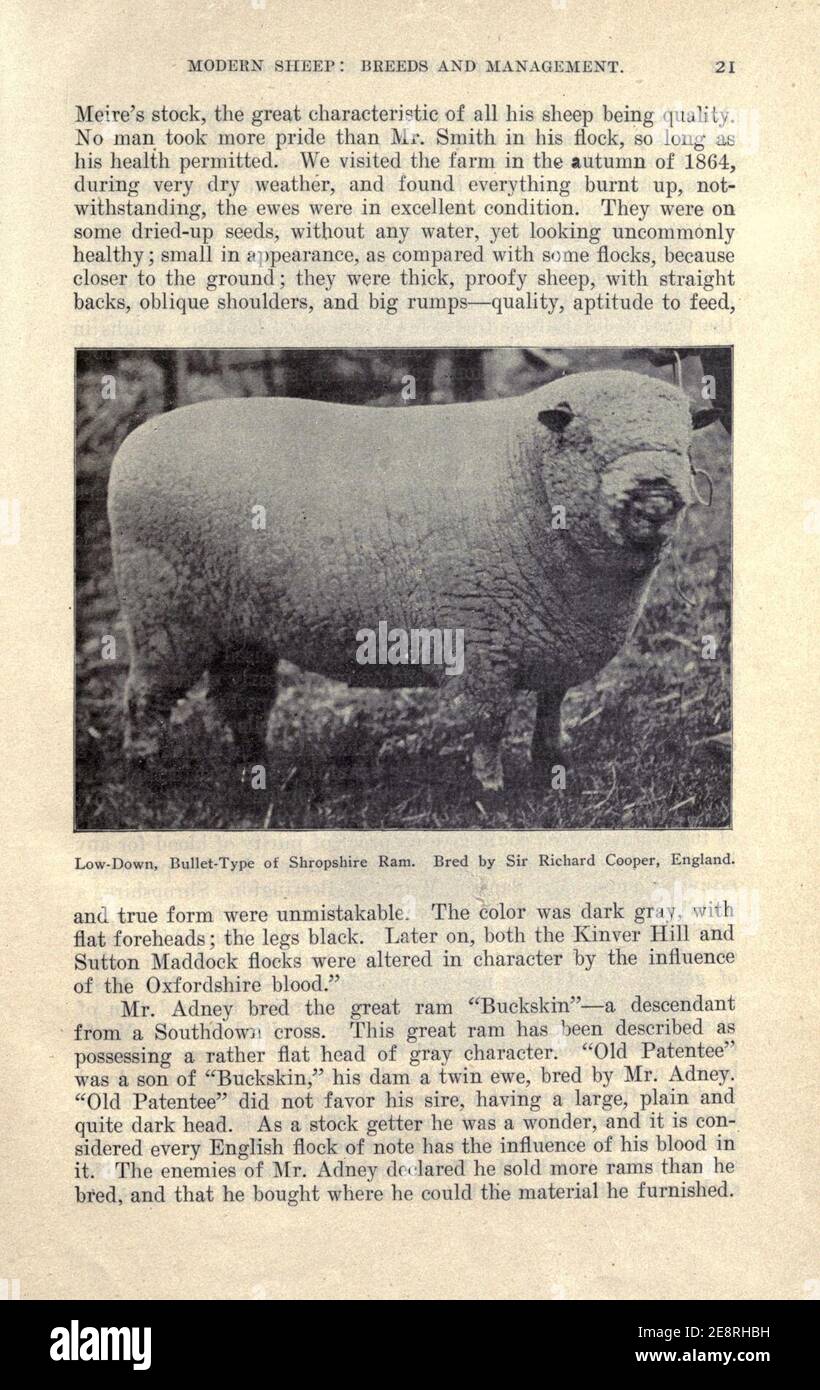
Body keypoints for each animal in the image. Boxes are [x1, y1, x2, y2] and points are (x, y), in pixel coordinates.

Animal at [108, 368, 715, 794]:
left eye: (685, 444)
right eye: (588, 442)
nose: (656, 494)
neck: (530, 478)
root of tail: (136, 439)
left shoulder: (554, 638)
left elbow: (552, 705)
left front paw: (552, 761)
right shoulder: (481, 644)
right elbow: (489, 722)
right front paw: (491, 790)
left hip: (240, 623)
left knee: (244, 700)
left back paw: (255, 768)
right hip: (165, 613)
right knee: (144, 698)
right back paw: (146, 772)